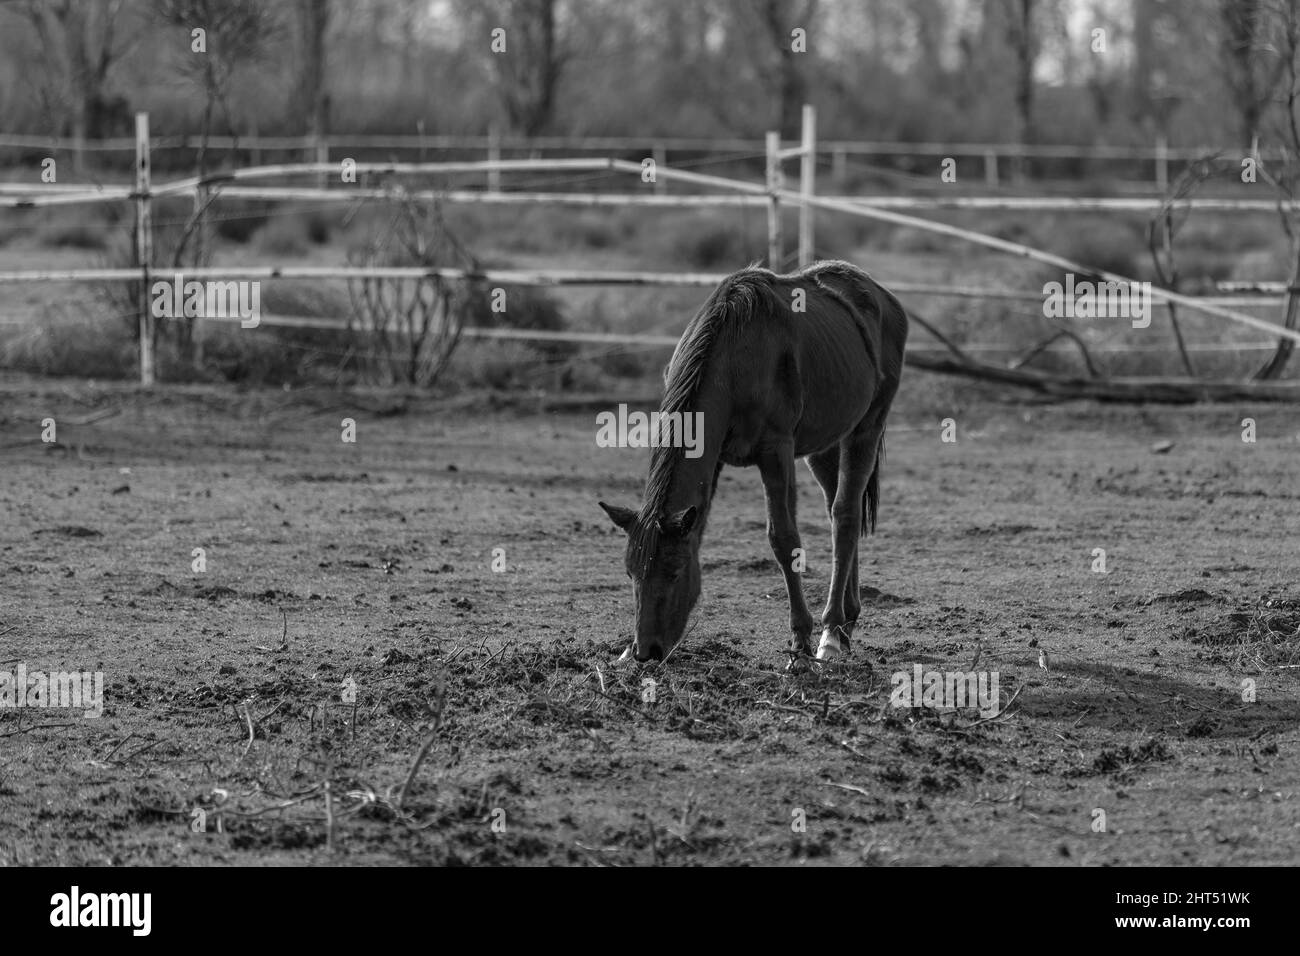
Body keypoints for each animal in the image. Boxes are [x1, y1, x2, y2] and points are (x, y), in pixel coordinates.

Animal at [599, 259, 908, 664]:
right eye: (630, 572)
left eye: (675, 571)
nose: (646, 650)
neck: (731, 358)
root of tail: (884, 297)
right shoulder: (714, 456)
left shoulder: (775, 450)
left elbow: (783, 539)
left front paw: (800, 641)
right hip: (823, 443)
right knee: (838, 509)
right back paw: (847, 622)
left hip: (866, 427)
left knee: (845, 514)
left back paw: (831, 632)